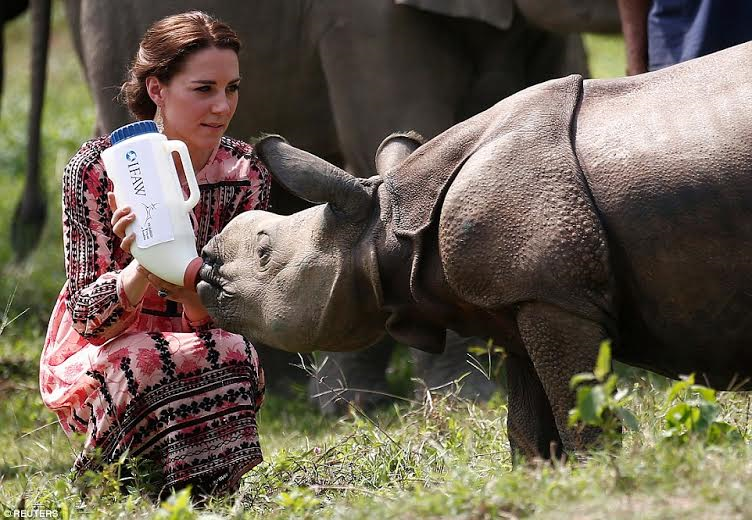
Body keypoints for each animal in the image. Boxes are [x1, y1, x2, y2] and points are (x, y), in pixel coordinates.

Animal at [195, 41, 752, 459]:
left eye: (264, 252)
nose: (206, 263)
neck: (387, 226)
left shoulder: (555, 294)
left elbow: (579, 404)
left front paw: (600, 470)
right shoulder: (521, 295)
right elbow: (526, 420)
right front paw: (543, 480)